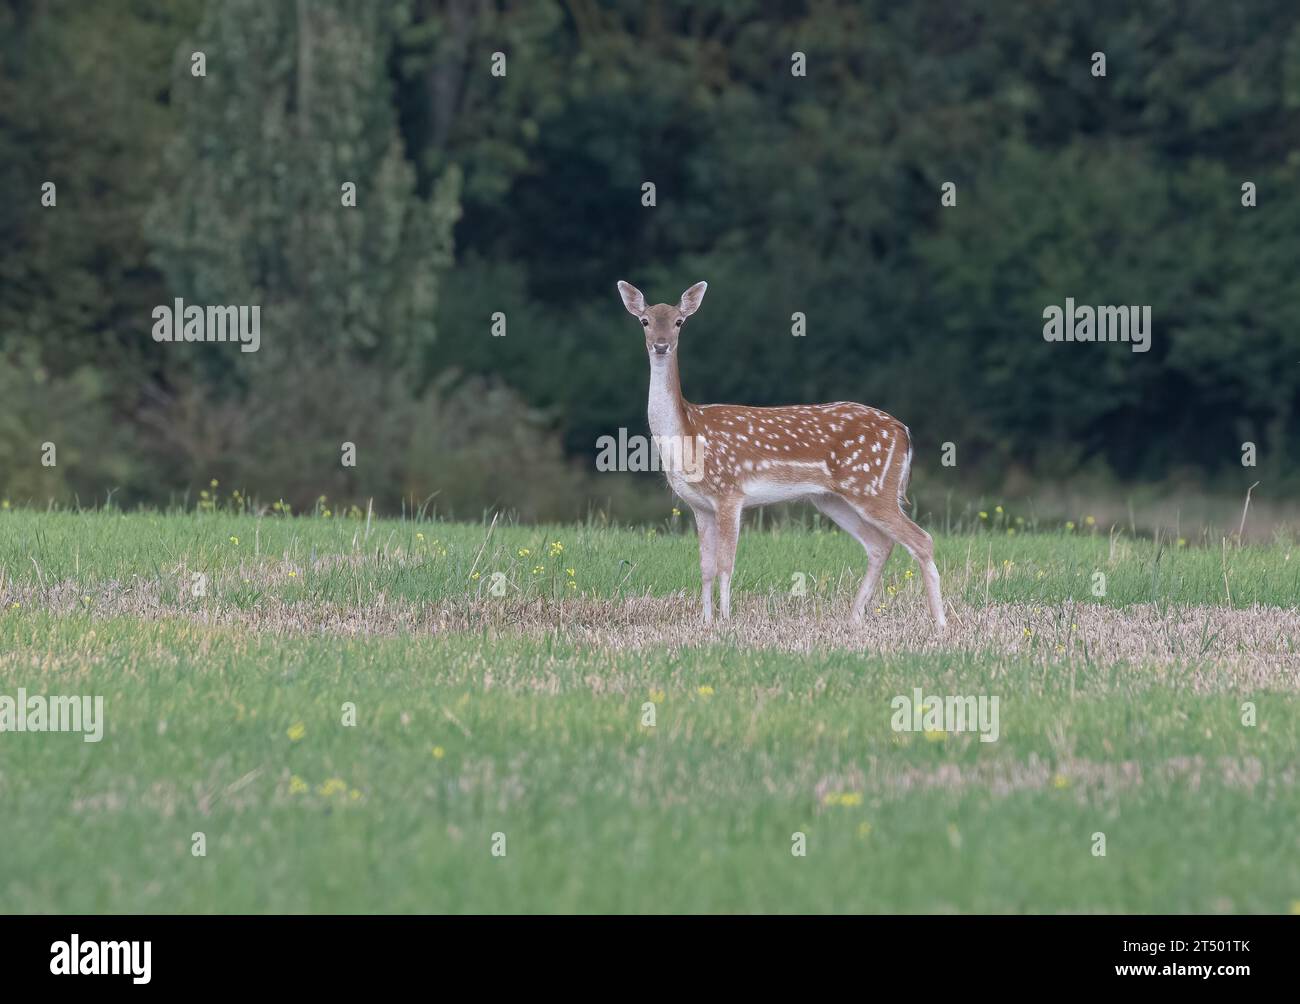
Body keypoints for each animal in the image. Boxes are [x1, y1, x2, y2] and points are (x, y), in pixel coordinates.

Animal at [617, 279, 946, 629]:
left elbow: (725, 564)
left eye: (679, 321)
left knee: (921, 539)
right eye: (645, 321)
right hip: (833, 498)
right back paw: (853, 619)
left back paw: (940, 623)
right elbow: (705, 567)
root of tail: (902, 430)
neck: (688, 434)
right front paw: (706, 622)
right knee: (880, 544)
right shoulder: (699, 505)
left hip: (872, 487)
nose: (661, 345)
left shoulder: (729, 492)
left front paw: (726, 620)